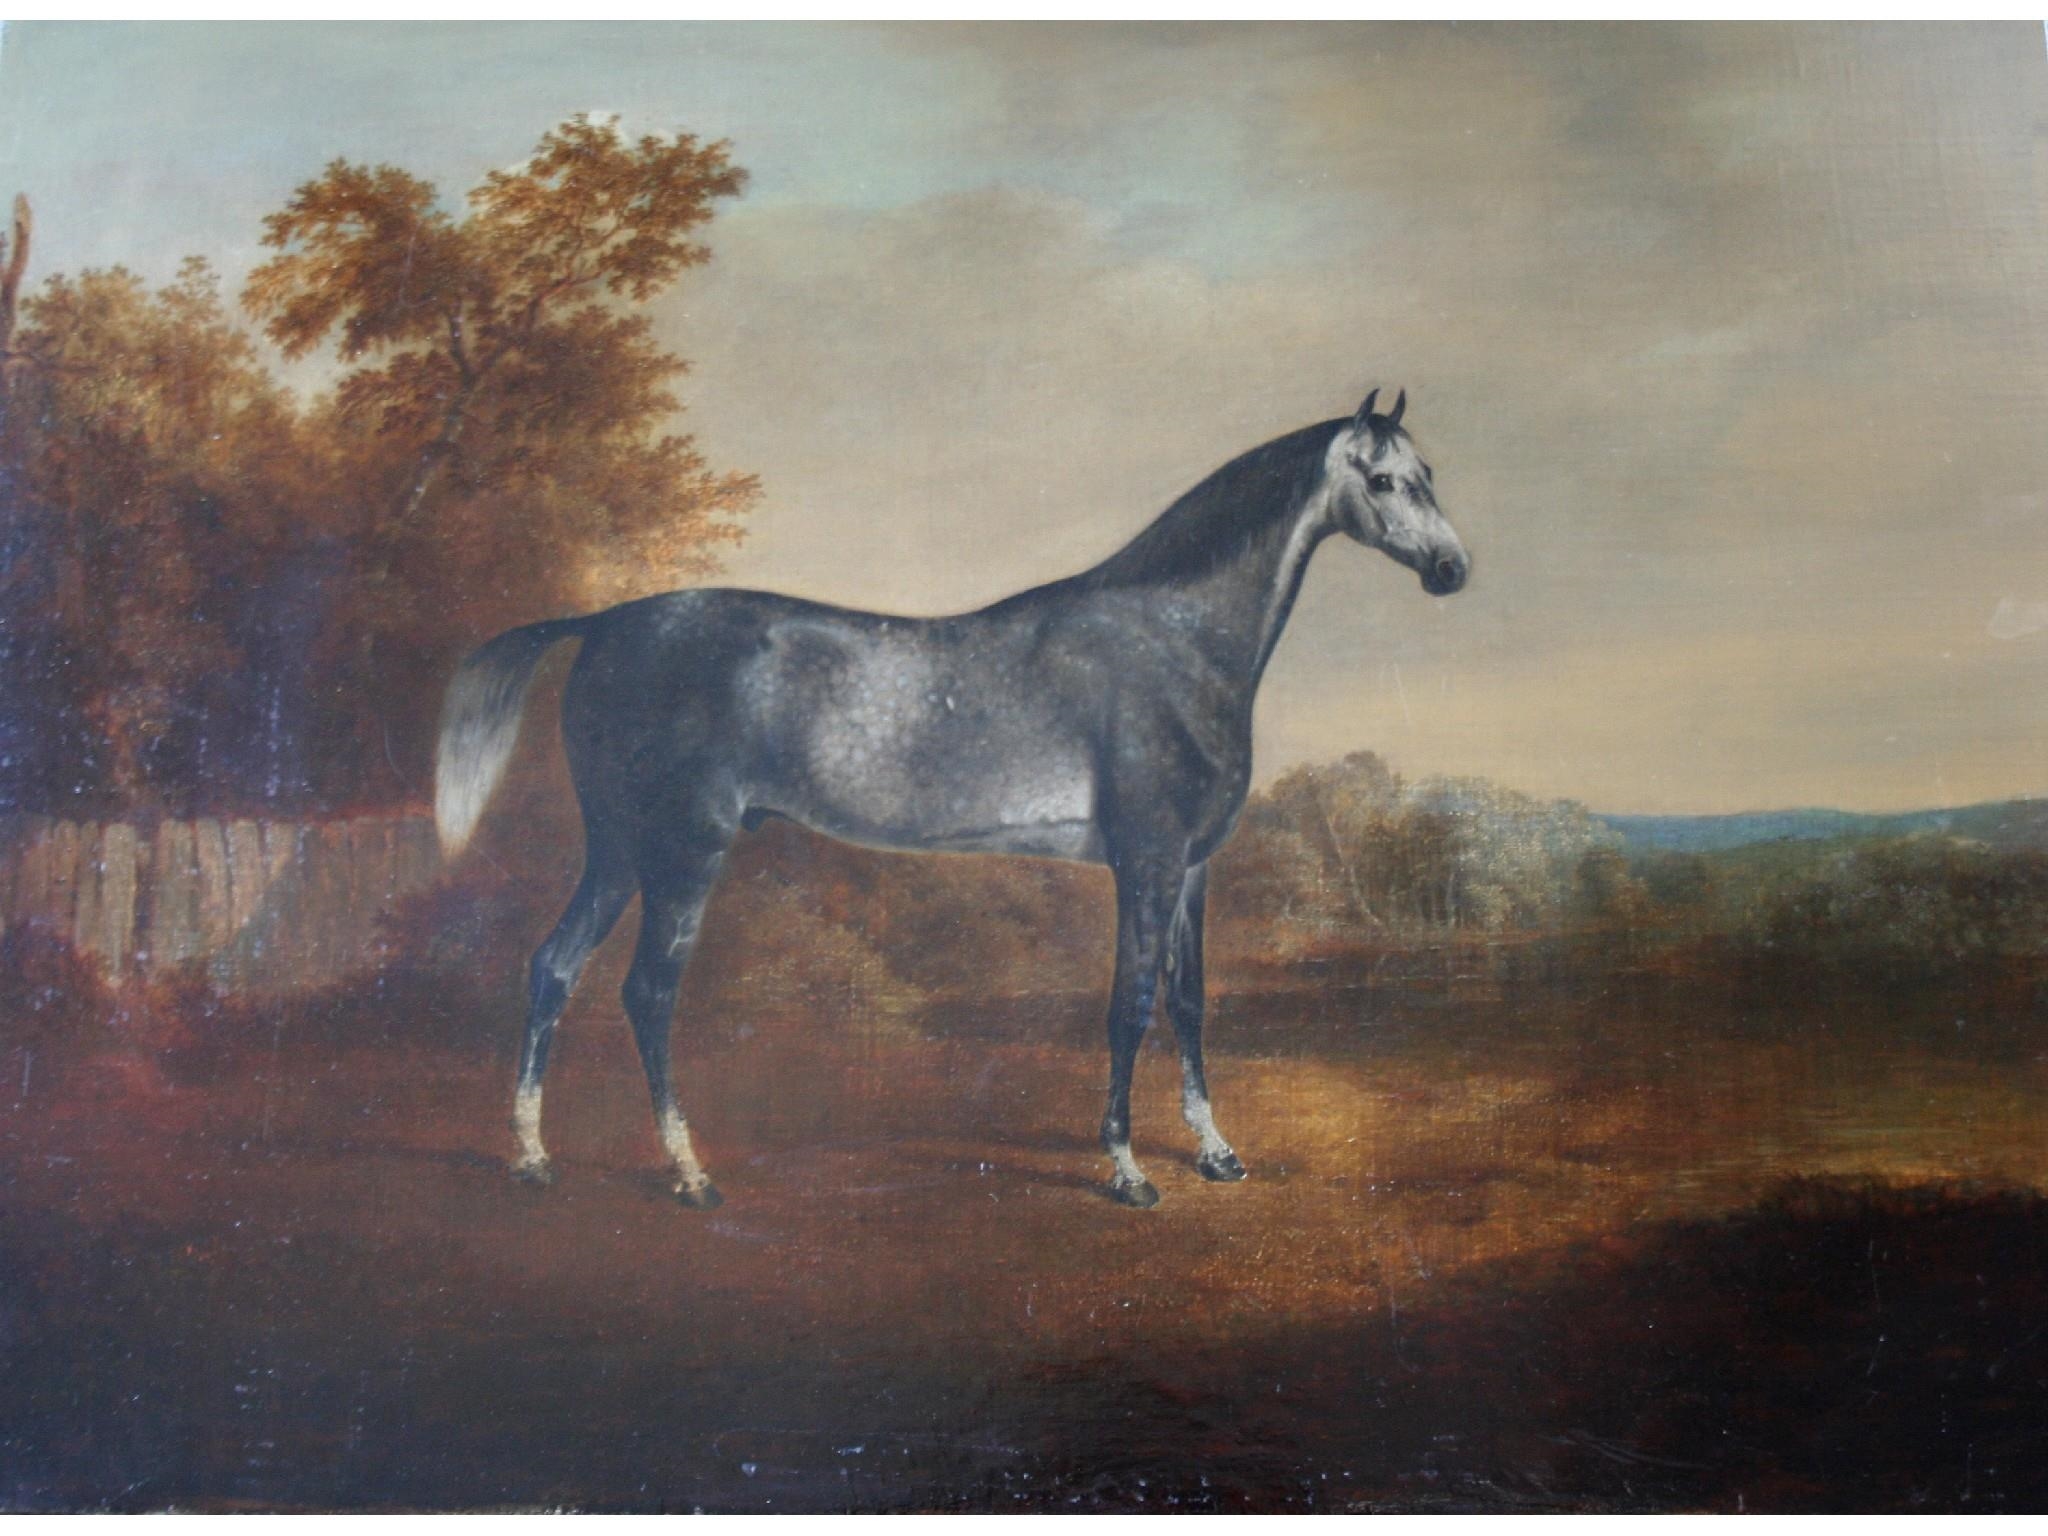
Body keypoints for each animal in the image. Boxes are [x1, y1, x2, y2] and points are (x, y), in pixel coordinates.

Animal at [434, 388, 1470, 1209]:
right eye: (1383, 481)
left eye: (1428, 472)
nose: (1453, 571)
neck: (1173, 638)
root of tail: (606, 620)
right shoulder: (1145, 859)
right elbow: (1130, 1004)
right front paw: (1129, 1171)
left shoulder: (1194, 866)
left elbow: (1189, 1002)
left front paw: (1216, 1153)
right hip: (685, 850)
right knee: (647, 993)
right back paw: (689, 1173)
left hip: (616, 849)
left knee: (553, 967)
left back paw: (532, 1158)